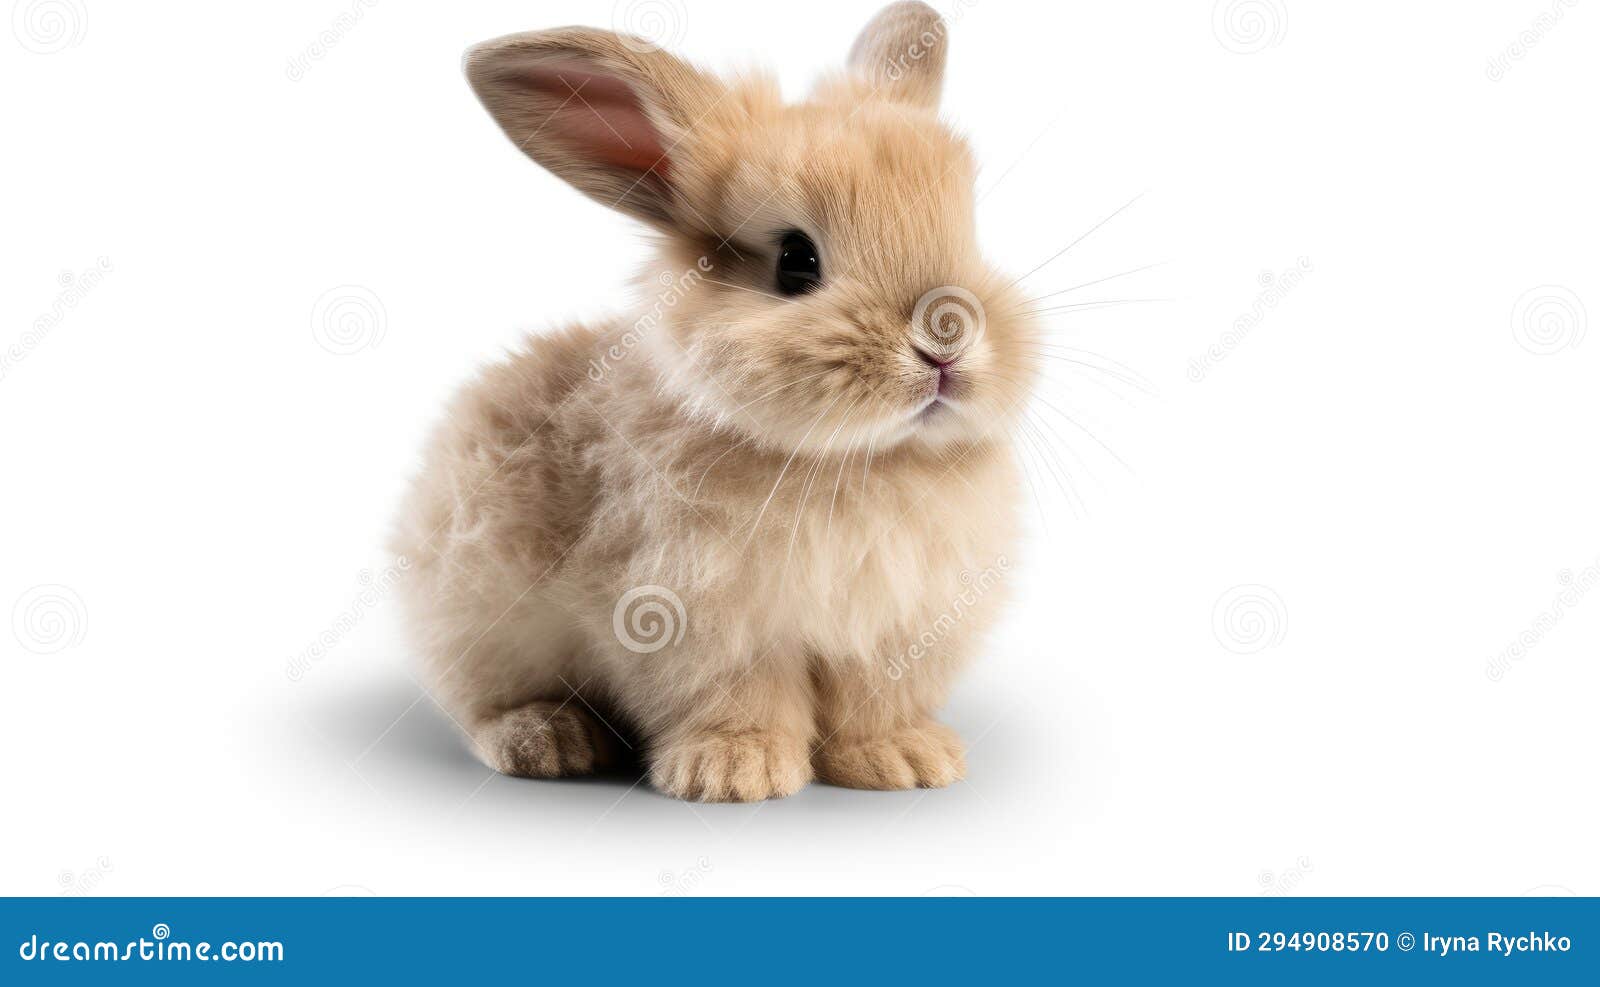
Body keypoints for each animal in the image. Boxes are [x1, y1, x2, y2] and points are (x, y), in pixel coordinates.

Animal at [392, 1, 1040, 802]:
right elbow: (737, 695)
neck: (863, 458)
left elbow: (875, 703)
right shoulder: (696, 621)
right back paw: (547, 740)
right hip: (471, 620)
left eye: (970, 236)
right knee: (481, 704)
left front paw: (905, 761)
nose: (948, 339)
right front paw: (734, 772)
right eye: (796, 261)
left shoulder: (897, 628)